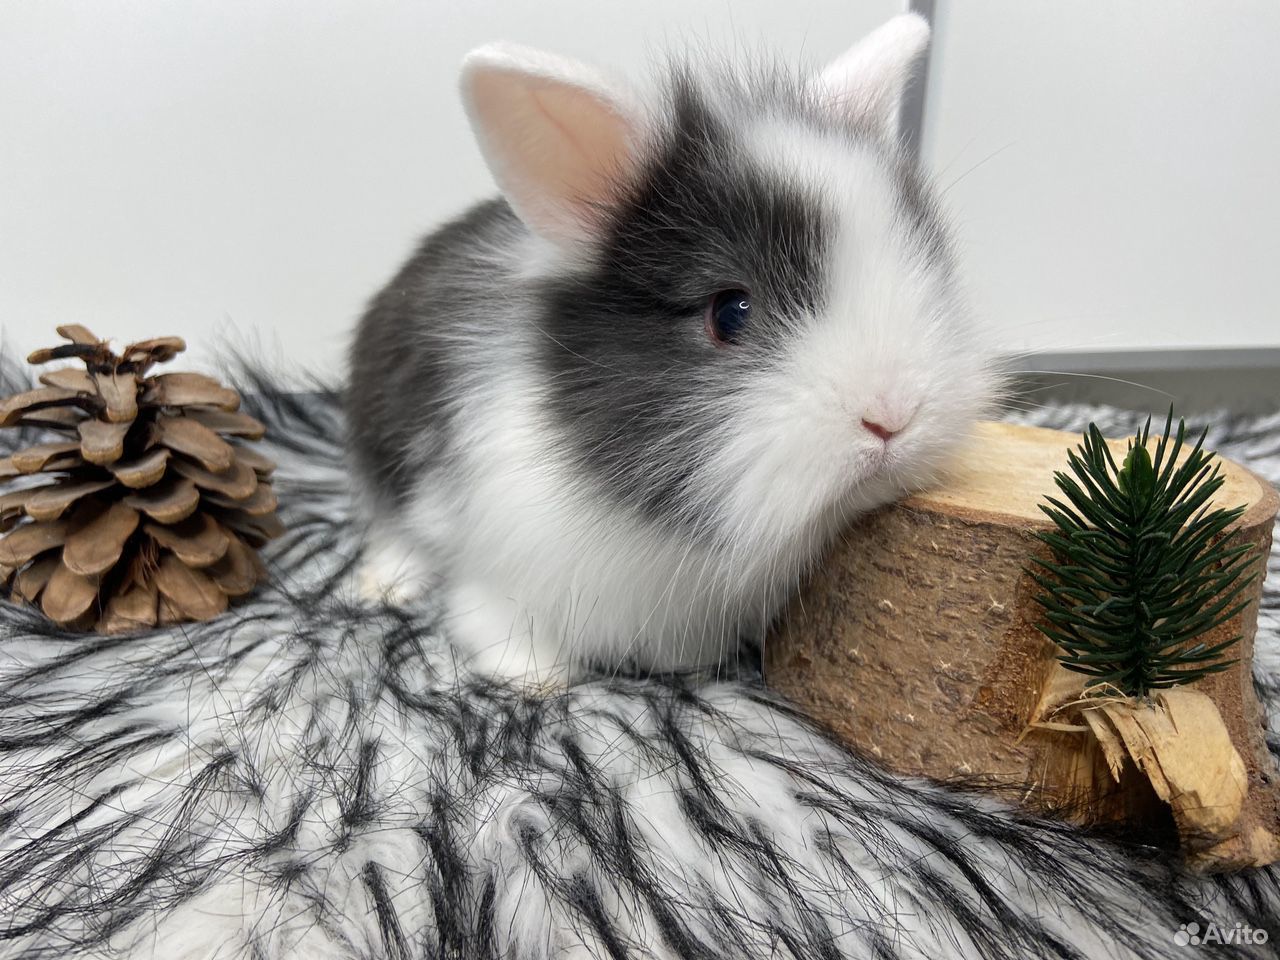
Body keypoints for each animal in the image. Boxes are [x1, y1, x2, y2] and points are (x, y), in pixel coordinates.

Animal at [347, 14, 999, 684]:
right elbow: (497, 621)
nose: (893, 416)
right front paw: (535, 680)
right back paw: (382, 585)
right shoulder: (499, 564)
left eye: (923, 263)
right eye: (729, 313)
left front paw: (688, 662)